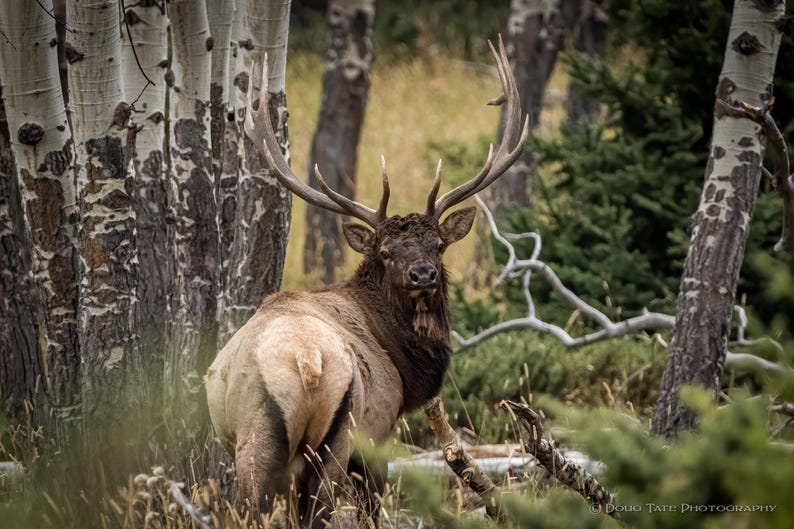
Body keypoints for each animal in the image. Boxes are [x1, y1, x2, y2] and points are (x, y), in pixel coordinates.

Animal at [205, 38, 528, 529]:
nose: (423, 274)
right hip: (324, 438)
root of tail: (308, 362)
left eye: (438, 245)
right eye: (386, 252)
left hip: (267, 444)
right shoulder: (380, 433)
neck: (406, 365)